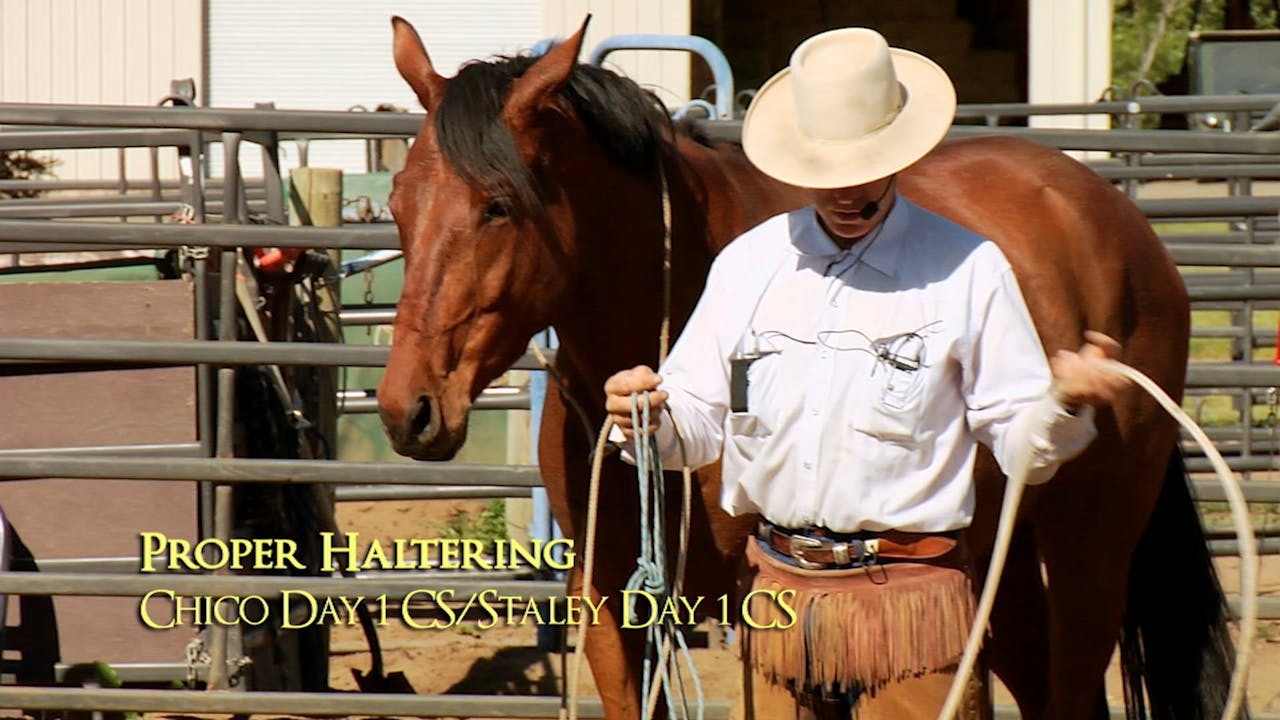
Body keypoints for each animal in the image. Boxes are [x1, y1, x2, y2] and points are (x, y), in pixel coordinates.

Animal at [376, 17, 1237, 720]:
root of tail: (1118, 220)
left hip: (1090, 556)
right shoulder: (615, 608)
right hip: (1006, 560)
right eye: (399, 201)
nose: (407, 408)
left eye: (497, 206)